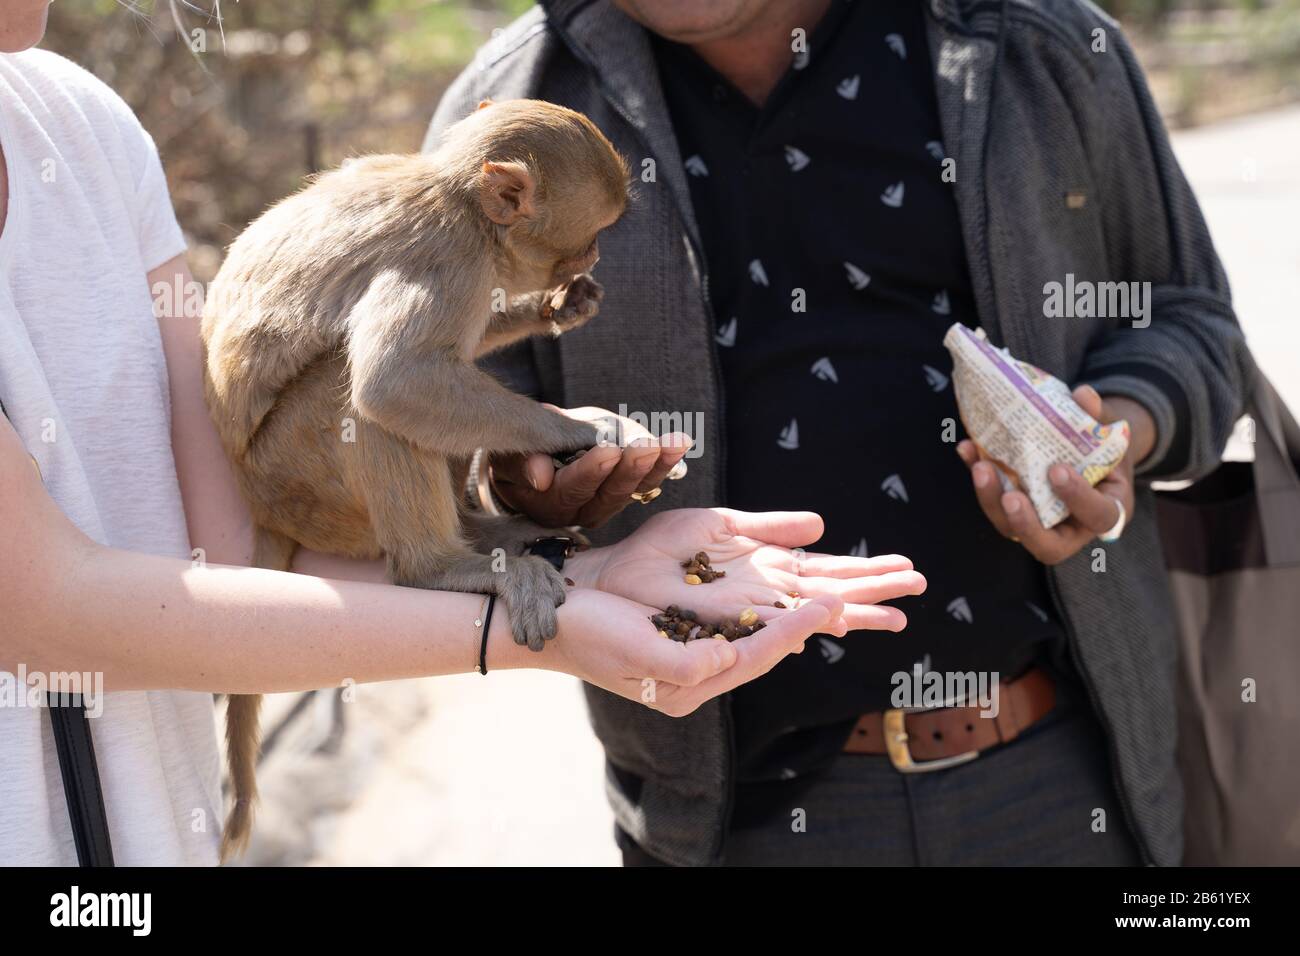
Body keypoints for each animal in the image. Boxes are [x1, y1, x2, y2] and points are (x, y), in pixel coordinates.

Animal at [199, 99, 630, 860]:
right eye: (590, 236)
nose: (595, 259)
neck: (463, 203)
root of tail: (264, 509)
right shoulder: (447, 259)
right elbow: (394, 381)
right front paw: (575, 430)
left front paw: (557, 309)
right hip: (302, 487)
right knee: (357, 395)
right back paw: (443, 566)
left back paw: (487, 531)